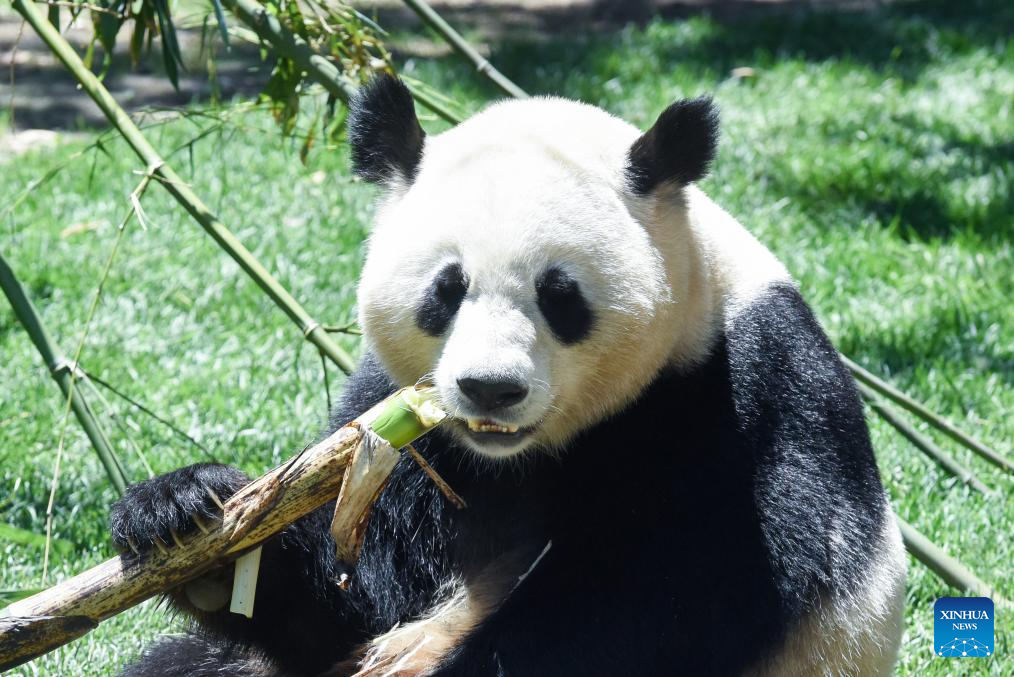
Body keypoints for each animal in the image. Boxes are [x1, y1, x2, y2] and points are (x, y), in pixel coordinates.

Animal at [110, 75, 907, 676]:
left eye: (560, 296)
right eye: (446, 289)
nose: (490, 388)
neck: (521, 455)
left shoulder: (732, 407)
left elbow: (647, 605)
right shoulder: (406, 432)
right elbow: (350, 593)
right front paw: (185, 510)